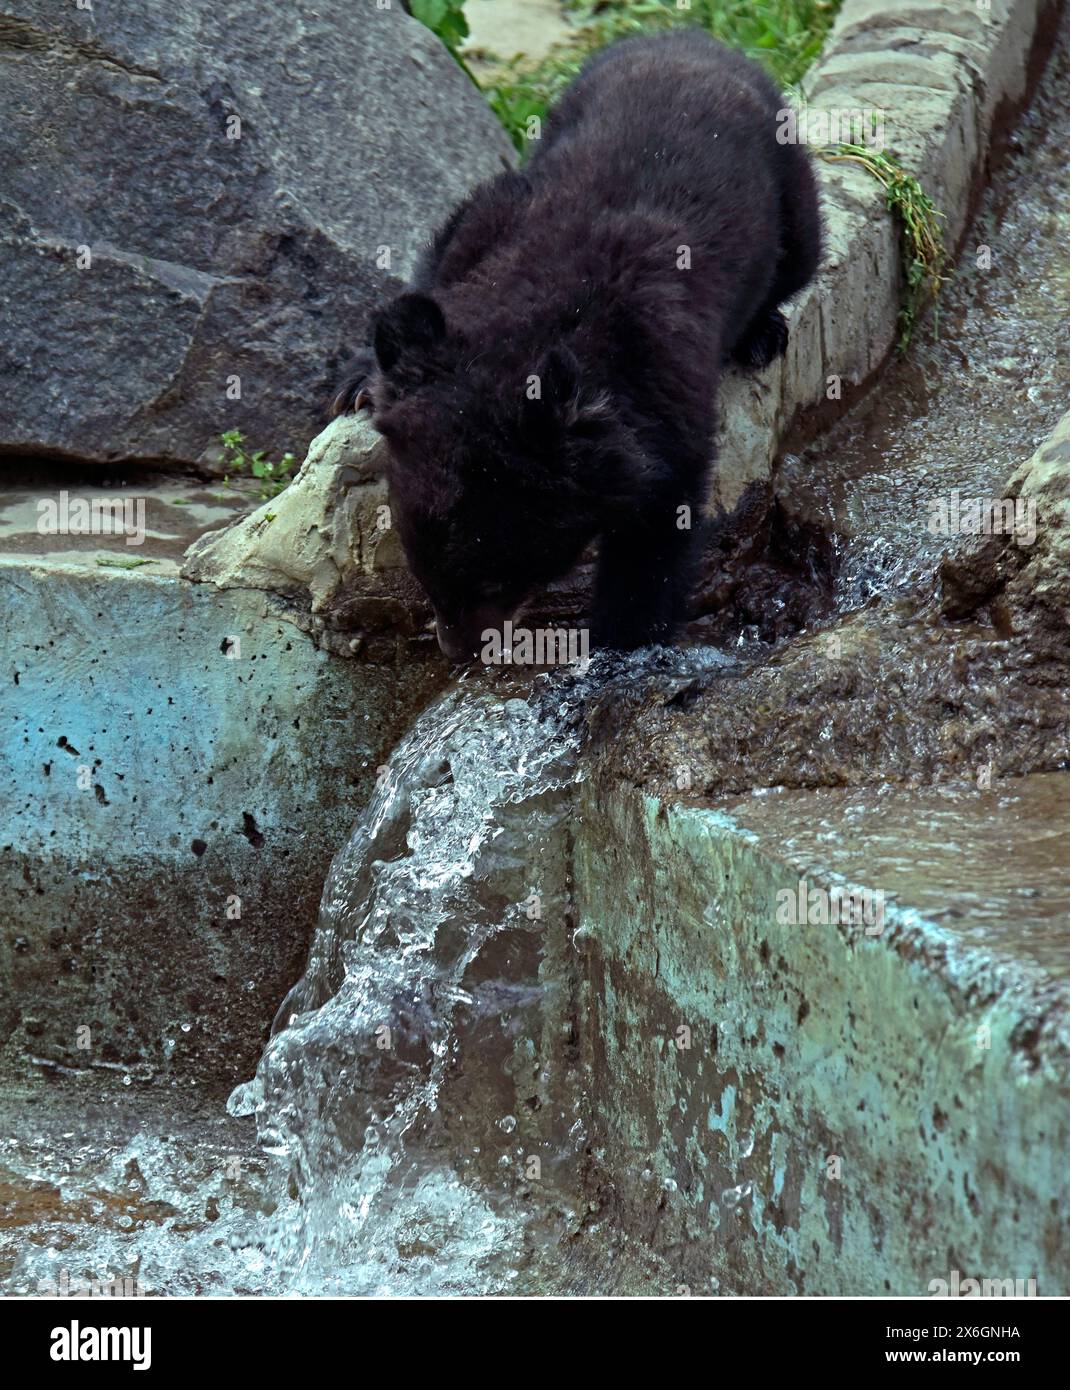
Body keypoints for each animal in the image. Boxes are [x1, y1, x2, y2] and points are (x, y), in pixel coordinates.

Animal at [332, 30, 822, 659]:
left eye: (495, 576)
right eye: (422, 569)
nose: (458, 649)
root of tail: (695, 37)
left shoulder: (661, 369)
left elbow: (660, 519)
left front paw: (621, 643)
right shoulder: (491, 220)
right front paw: (360, 381)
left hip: (792, 190)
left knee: (800, 253)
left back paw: (762, 335)